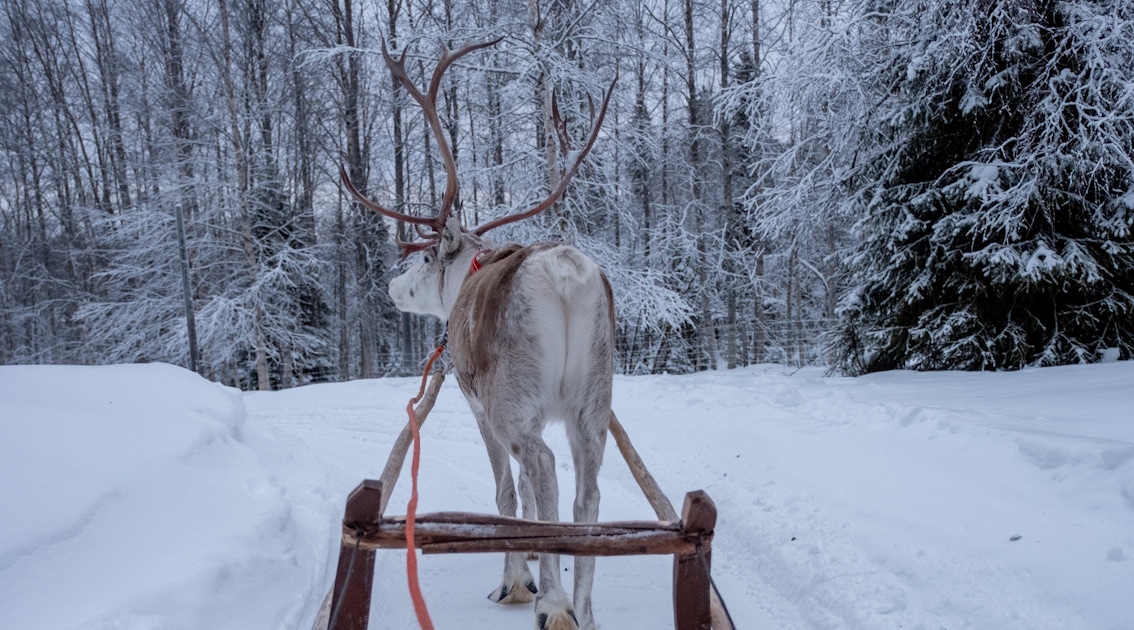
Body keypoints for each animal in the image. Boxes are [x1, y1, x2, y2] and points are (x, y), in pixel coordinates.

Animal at [341, 40, 616, 630]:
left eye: (424, 257)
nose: (392, 286)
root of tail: (565, 274)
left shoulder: (479, 407)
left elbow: (506, 491)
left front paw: (515, 581)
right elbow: (529, 495)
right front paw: (531, 559)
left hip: (513, 400)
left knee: (542, 467)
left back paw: (553, 604)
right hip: (593, 403)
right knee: (587, 493)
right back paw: (583, 608)